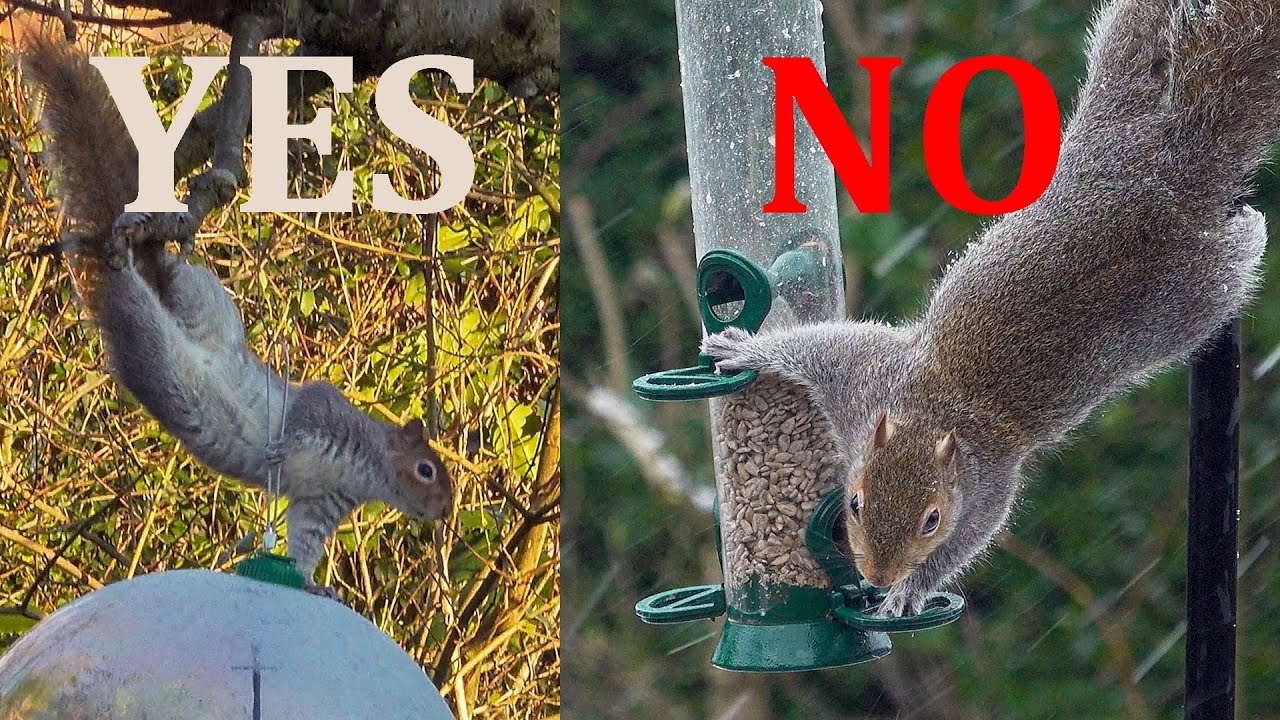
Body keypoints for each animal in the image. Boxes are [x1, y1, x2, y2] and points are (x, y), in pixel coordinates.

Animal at [22, 37, 453, 595]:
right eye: (426, 469)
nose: (444, 511)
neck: (368, 468)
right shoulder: (324, 412)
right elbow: (302, 418)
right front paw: (278, 449)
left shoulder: (319, 503)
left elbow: (304, 544)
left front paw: (312, 583)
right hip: (173, 319)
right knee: (154, 280)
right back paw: (131, 244)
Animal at [703, 0, 1278, 617]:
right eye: (854, 504)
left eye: (932, 520)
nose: (879, 574)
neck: (927, 412)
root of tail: (1168, 172)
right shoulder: (861, 377)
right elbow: (814, 346)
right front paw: (746, 348)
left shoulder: (985, 491)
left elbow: (966, 543)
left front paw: (907, 593)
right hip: (1122, 75)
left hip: (1198, 295)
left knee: (1238, 258)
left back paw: (1252, 225)